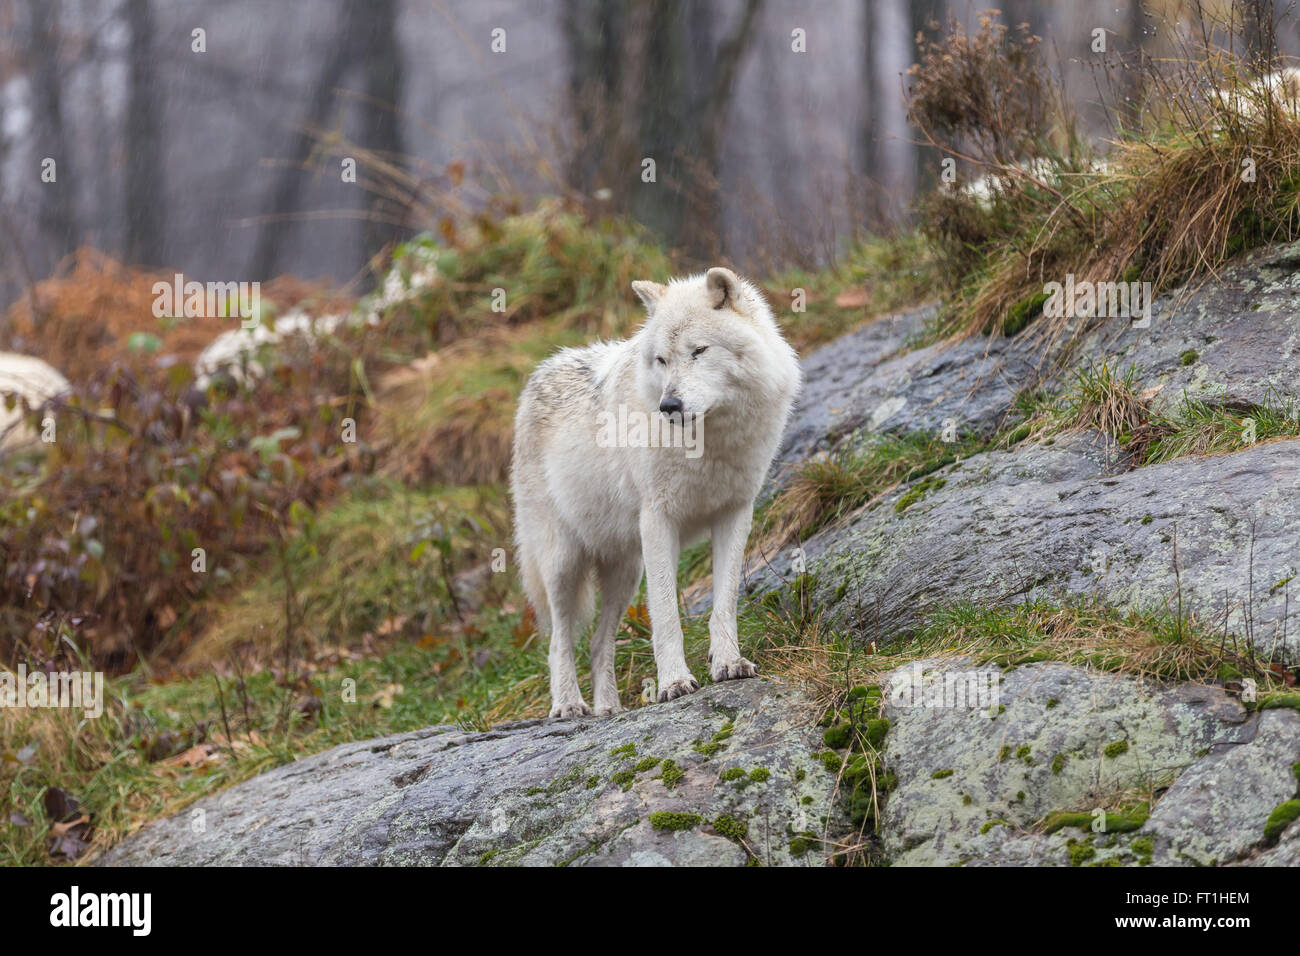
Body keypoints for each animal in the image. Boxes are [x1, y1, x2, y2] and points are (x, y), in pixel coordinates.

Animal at [511, 267, 801, 717]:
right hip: (563, 563)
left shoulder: (735, 513)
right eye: (662, 360)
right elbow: (666, 616)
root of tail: (540, 370)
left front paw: (729, 663)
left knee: (599, 643)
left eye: (699, 350)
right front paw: (674, 683)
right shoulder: (659, 521)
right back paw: (568, 705)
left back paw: (609, 709)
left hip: (625, 572)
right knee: (559, 641)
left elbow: (724, 602)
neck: (710, 443)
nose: (669, 405)